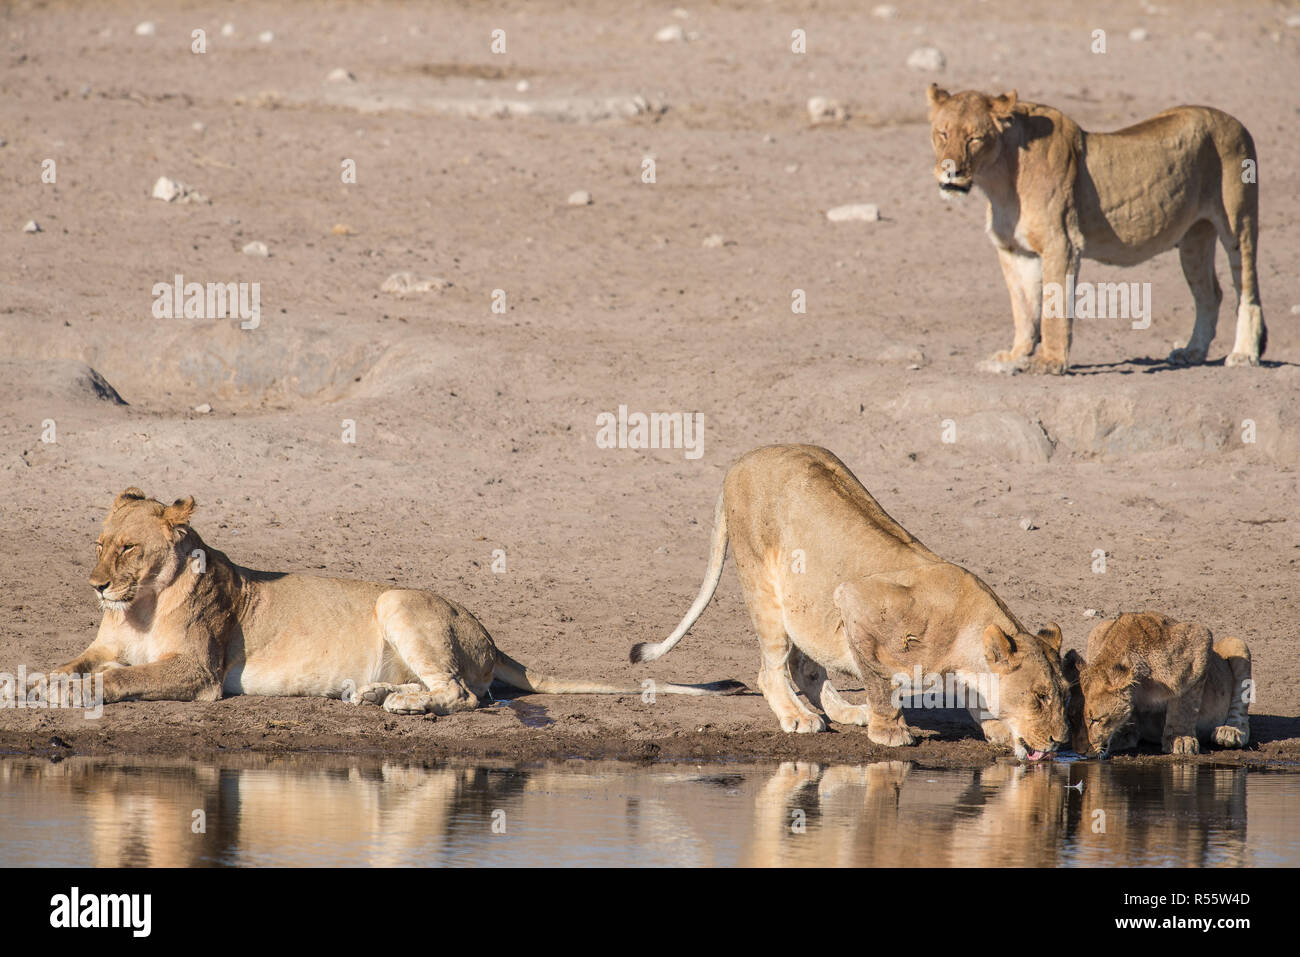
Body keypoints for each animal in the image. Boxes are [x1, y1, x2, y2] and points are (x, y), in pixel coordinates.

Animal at [30, 488, 744, 713]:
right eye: (100, 544)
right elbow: (75, 662)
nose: (95, 585)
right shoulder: (103, 643)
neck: (140, 603)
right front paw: (34, 681)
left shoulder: (199, 673)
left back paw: (401, 704)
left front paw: (74, 691)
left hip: (399, 602)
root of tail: (489, 632)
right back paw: (374, 693)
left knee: (464, 694)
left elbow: (123, 678)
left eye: (129, 548)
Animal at [629, 445, 1070, 759]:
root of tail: (741, 460)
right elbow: (878, 680)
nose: (1058, 741)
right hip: (763, 582)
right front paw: (891, 732)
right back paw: (798, 717)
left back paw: (843, 712)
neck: (963, 641)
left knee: (805, 665)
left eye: (1064, 693)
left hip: (807, 600)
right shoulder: (855, 600)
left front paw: (996, 727)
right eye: (1039, 697)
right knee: (771, 669)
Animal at [926, 84, 1265, 374]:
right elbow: (1023, 309)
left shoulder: (1062, 243)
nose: (950, 171)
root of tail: (1235, 121)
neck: (999, 179)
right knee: (1210, 294)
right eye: (942, 133)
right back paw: (1192, 351)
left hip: (1239, 223)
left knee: (1246, 291)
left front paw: (1050, 362)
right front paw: (1015, 356)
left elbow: (1053, 309)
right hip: (1194, 239)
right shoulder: (1014, 250)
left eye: (974, 138)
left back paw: (1244, 354)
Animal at [1062, 611, 1251, 756]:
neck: (1142, 687)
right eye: (1071, 718)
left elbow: (1185, 706)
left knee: (1241, 714)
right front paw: (1123, 735)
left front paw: (1180, 738)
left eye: (1095, 720)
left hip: (1236, 645)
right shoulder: (1098, 630)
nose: (1080, 751)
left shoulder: (1199, 642)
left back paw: (1229, 732)